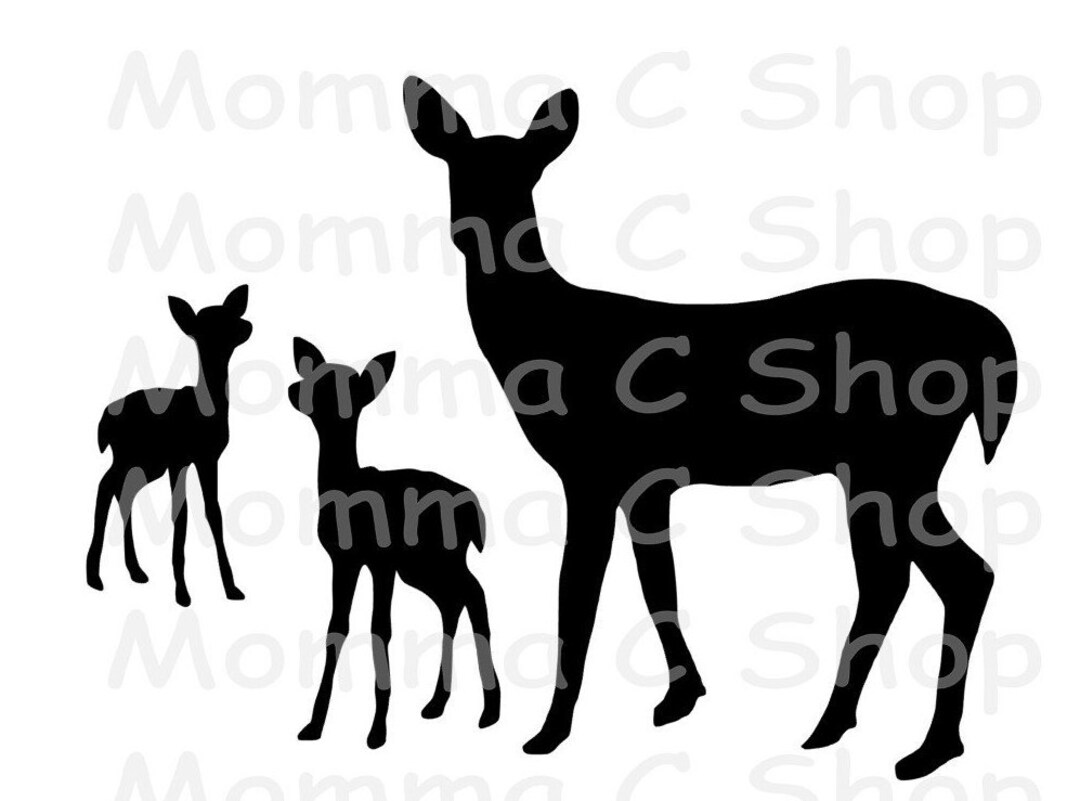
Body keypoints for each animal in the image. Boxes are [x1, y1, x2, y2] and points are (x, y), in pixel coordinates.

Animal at [87, 285, 251, 607]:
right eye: (207, 323)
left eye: (231, 313)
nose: (247, 325)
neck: (206, 411)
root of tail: (103, 420)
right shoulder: (180, 459)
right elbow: (182, 514)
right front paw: (183, 593)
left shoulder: (207, 458)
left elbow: (213, 512)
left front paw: (232, 588)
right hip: (127, 455)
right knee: (105, 486)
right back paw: (94, 576)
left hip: (146, 463)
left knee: (124, 493)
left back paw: (136, 571)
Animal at [288, 337, 501, 749]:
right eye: (315, 375)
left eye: (340, 387)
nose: (293, 389)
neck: (344, 488)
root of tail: (475, 508)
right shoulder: (343, 560)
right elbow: (337, 627)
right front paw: (313, 725)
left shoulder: (381, 561)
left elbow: (379, 628)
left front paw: (377, 731)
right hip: (423, 567)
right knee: (454, 600)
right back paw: (437, 703)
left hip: (439, 557)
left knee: (475, 593)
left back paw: (490, 710)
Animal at [403, 77, 1018, 779]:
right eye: (459, 167)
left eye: (527, 174)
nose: (483, 232)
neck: (545, 349)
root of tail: (990, 343)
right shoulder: (647, 480)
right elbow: (658, 580)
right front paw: (680, 696)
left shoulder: (592, 468)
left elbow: (577, 592)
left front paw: (549, 732)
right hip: (882, 466)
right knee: (905, 576)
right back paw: (849, 729)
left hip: (897, 457)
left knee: (950, 573)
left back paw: (922, 746)